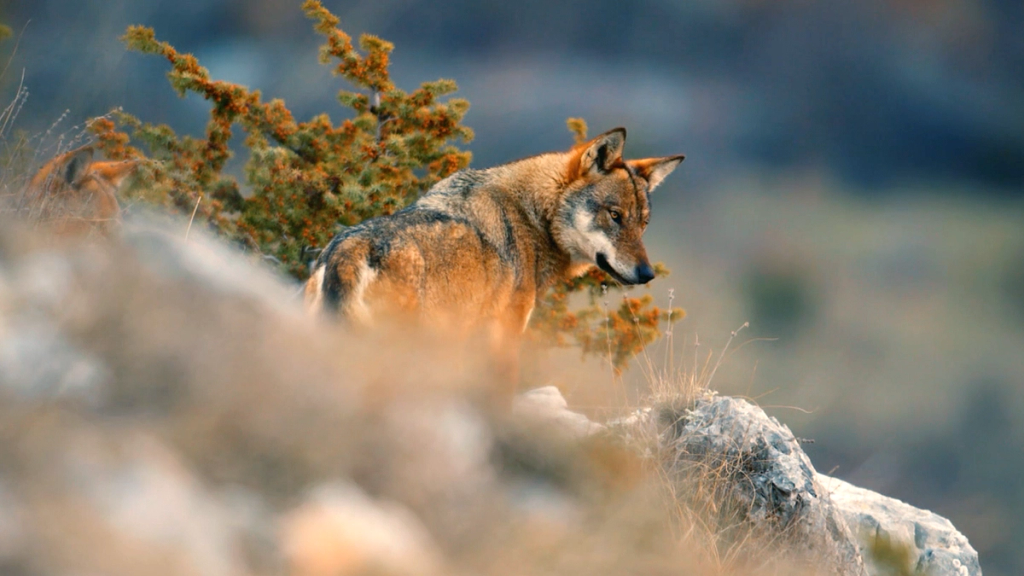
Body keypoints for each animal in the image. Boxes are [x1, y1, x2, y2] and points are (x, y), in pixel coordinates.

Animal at [305, 127, 684, 395]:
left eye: (643, 224)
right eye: (615, 216)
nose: (647, 274)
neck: (533, 217)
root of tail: (347, 248)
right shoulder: (505, 334)